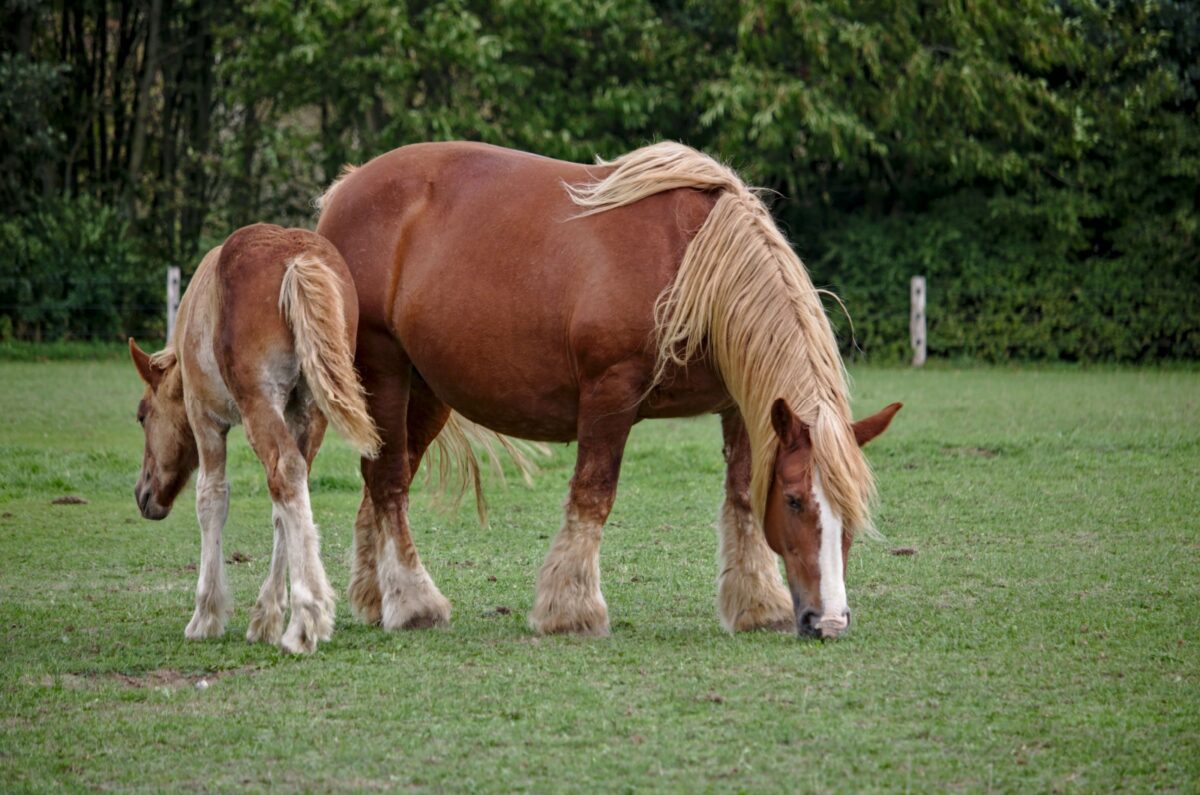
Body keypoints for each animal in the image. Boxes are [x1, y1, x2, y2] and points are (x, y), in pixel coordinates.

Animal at [316, 141, 901, 639]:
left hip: (427, 392)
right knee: (390, 481)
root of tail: (346, 188)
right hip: (384, 371)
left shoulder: (741, 407)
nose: (829, 622)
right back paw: (414, 602)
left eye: (853, 509)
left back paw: (376, 598)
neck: (692, 267)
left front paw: (757, 604)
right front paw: (571, 610)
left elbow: (740, 496)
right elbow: (594, 494)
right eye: (796, 500)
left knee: (379, 478)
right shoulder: (609, 396)